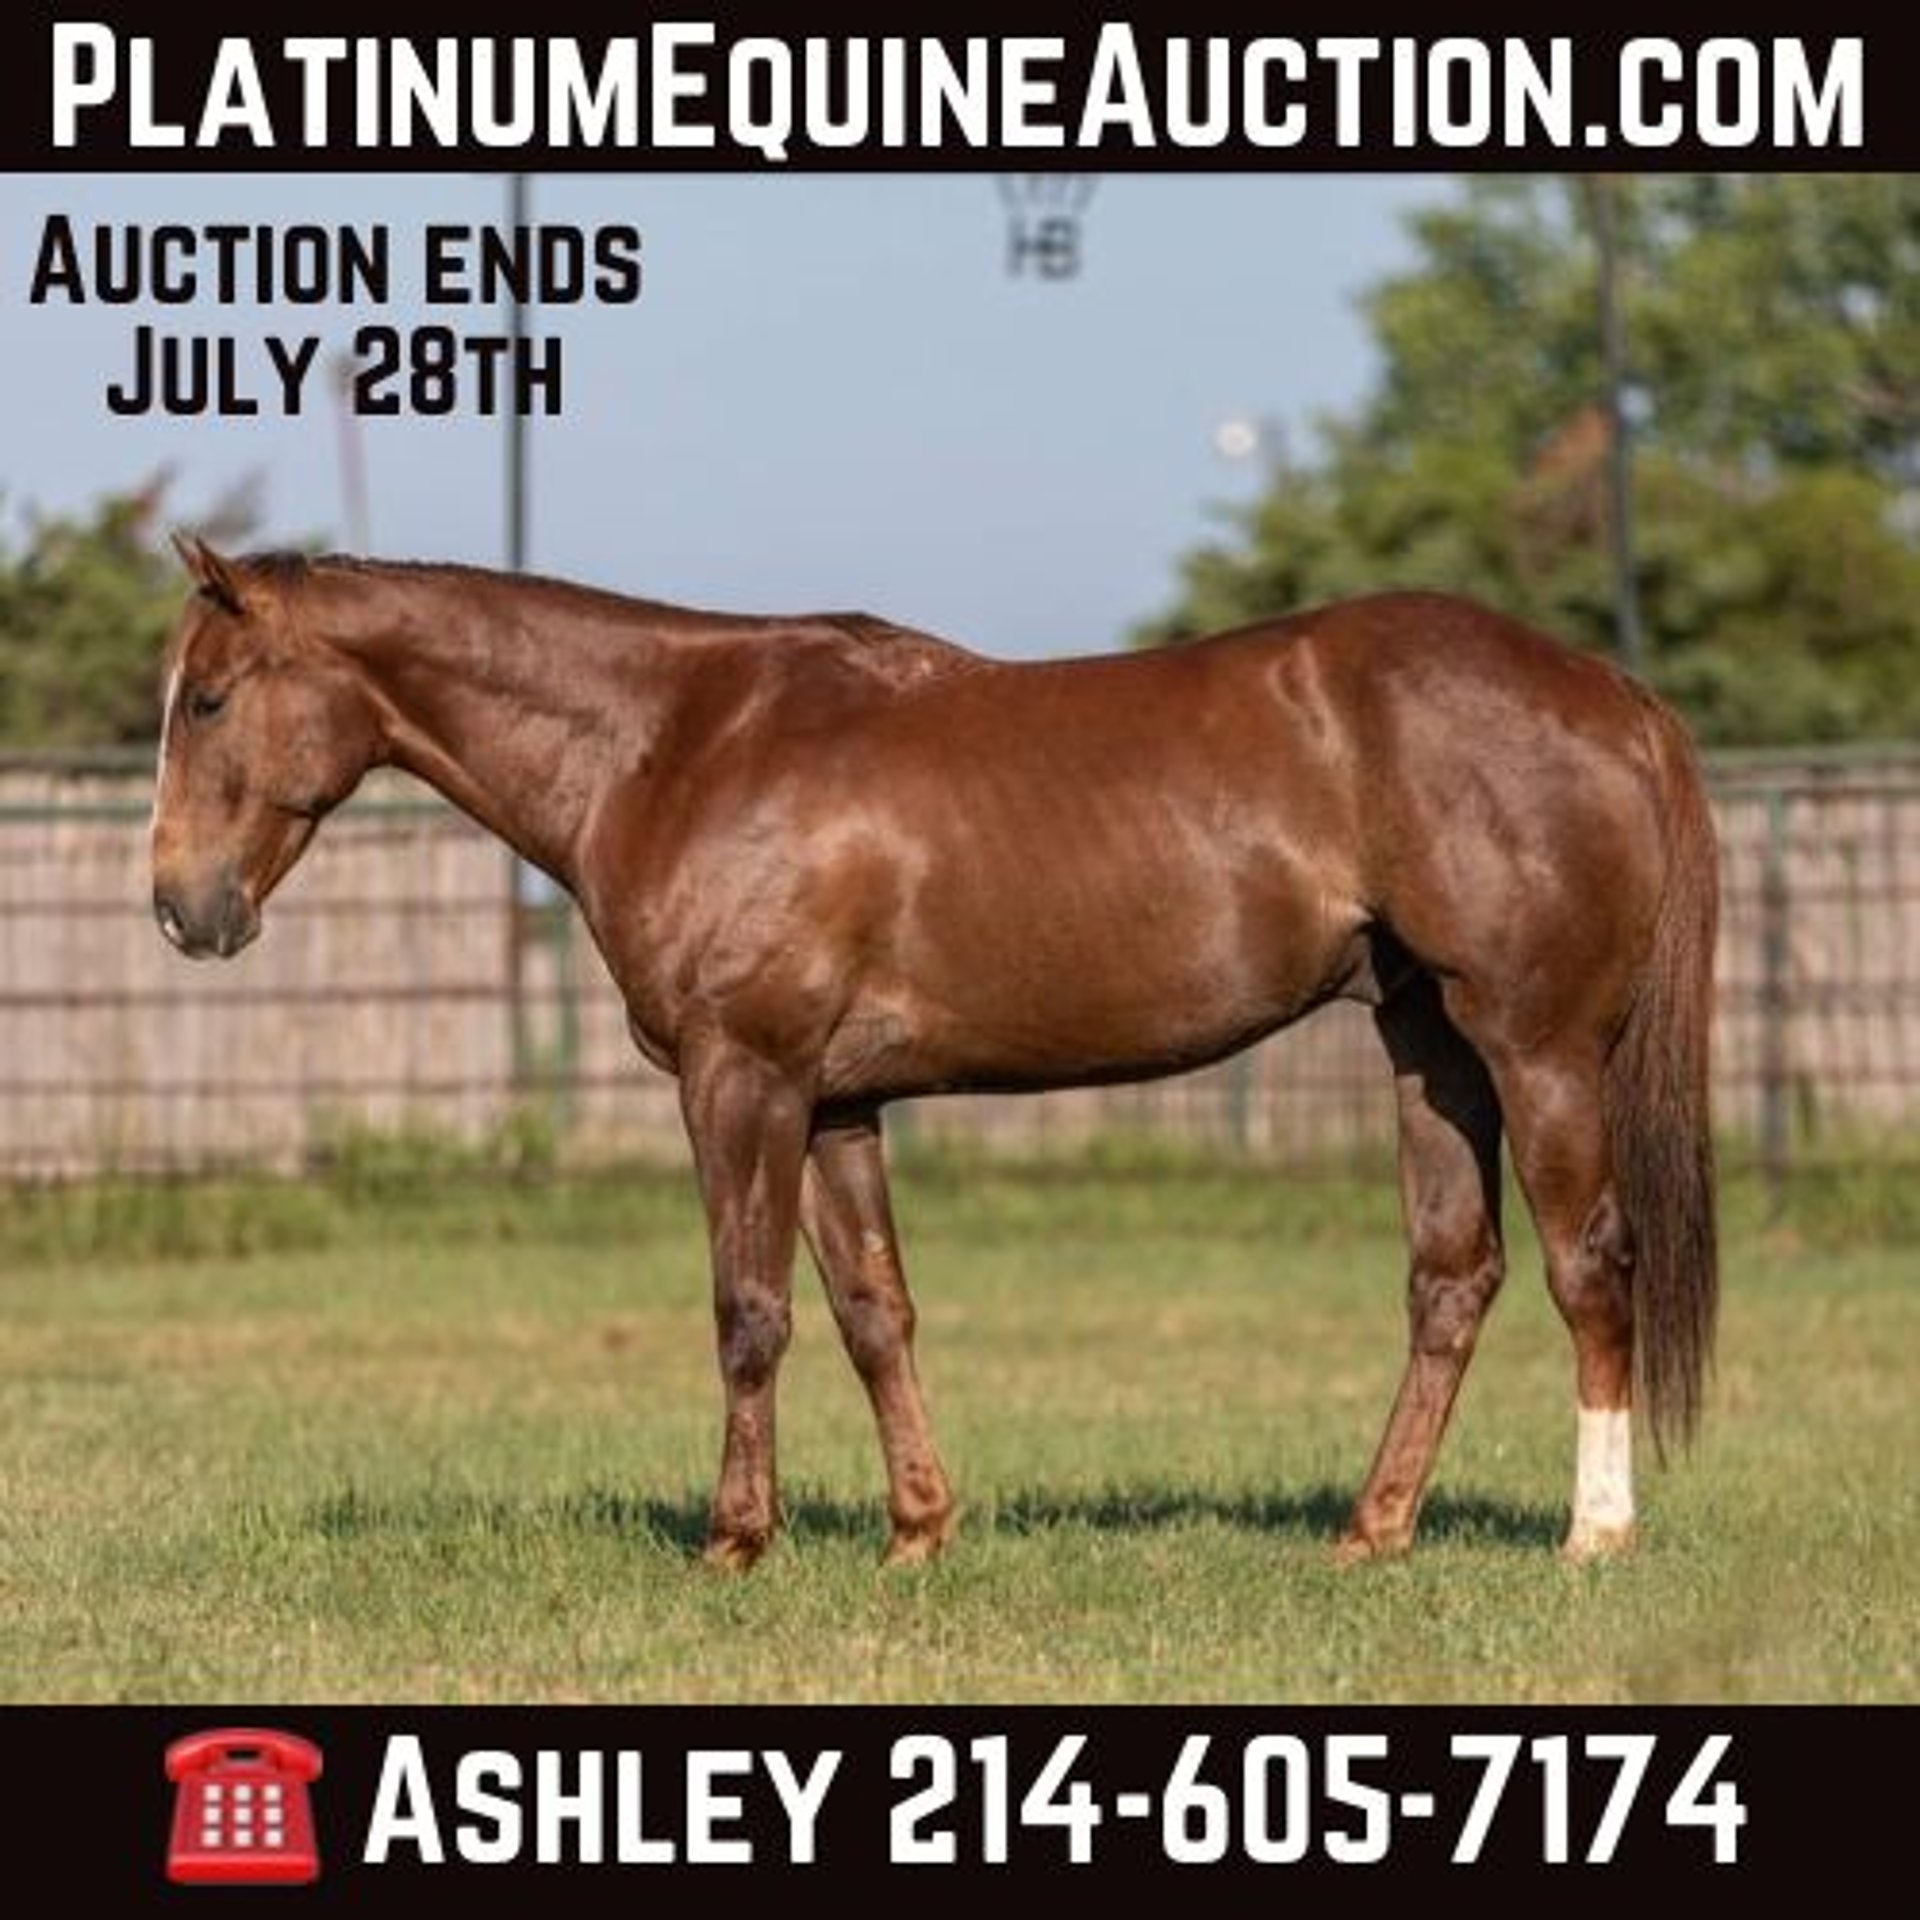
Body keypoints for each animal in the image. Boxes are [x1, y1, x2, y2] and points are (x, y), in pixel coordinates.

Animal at [150, 538, 1718, 1570]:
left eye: (210, 697)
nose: (181, 908)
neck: (674, 744)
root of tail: (1610, 693)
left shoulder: (743, 1078)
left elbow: (748, 1312)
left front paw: (736, 1544)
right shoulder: (837, 1101)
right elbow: (871, 1314)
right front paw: (918, 1534)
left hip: (1535, 1047)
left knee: (1591, 1266)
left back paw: (1595, 1534)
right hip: (1428, 1049)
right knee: (1453, 1279)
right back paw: (1371, 1532)